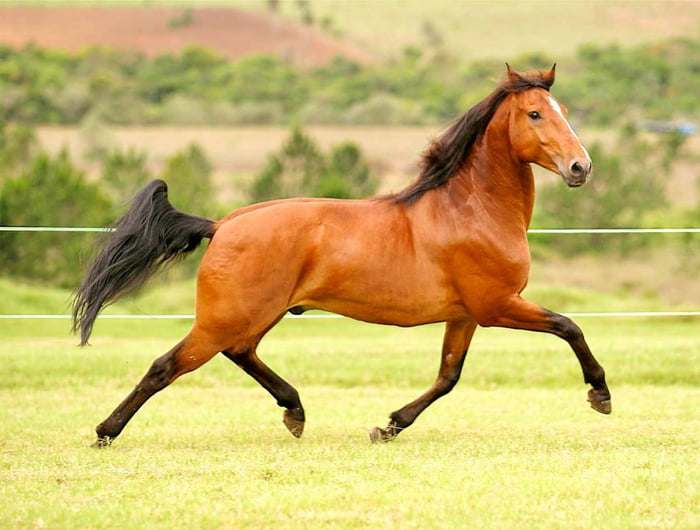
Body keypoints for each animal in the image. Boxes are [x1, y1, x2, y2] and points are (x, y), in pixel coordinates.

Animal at [73, 64, 611, 447]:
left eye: (563, 108)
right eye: (536, 113)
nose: (580, 167)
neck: (471, 210)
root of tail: (223, 225)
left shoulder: (467, 314)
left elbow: (448, 376)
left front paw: (389, 425)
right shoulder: (498, 305)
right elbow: (569, 327)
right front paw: (600, 394)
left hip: (255, 315)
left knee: (241, 353)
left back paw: (294, 412)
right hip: (226, 317)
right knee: (167, 366)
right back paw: (105, 431)